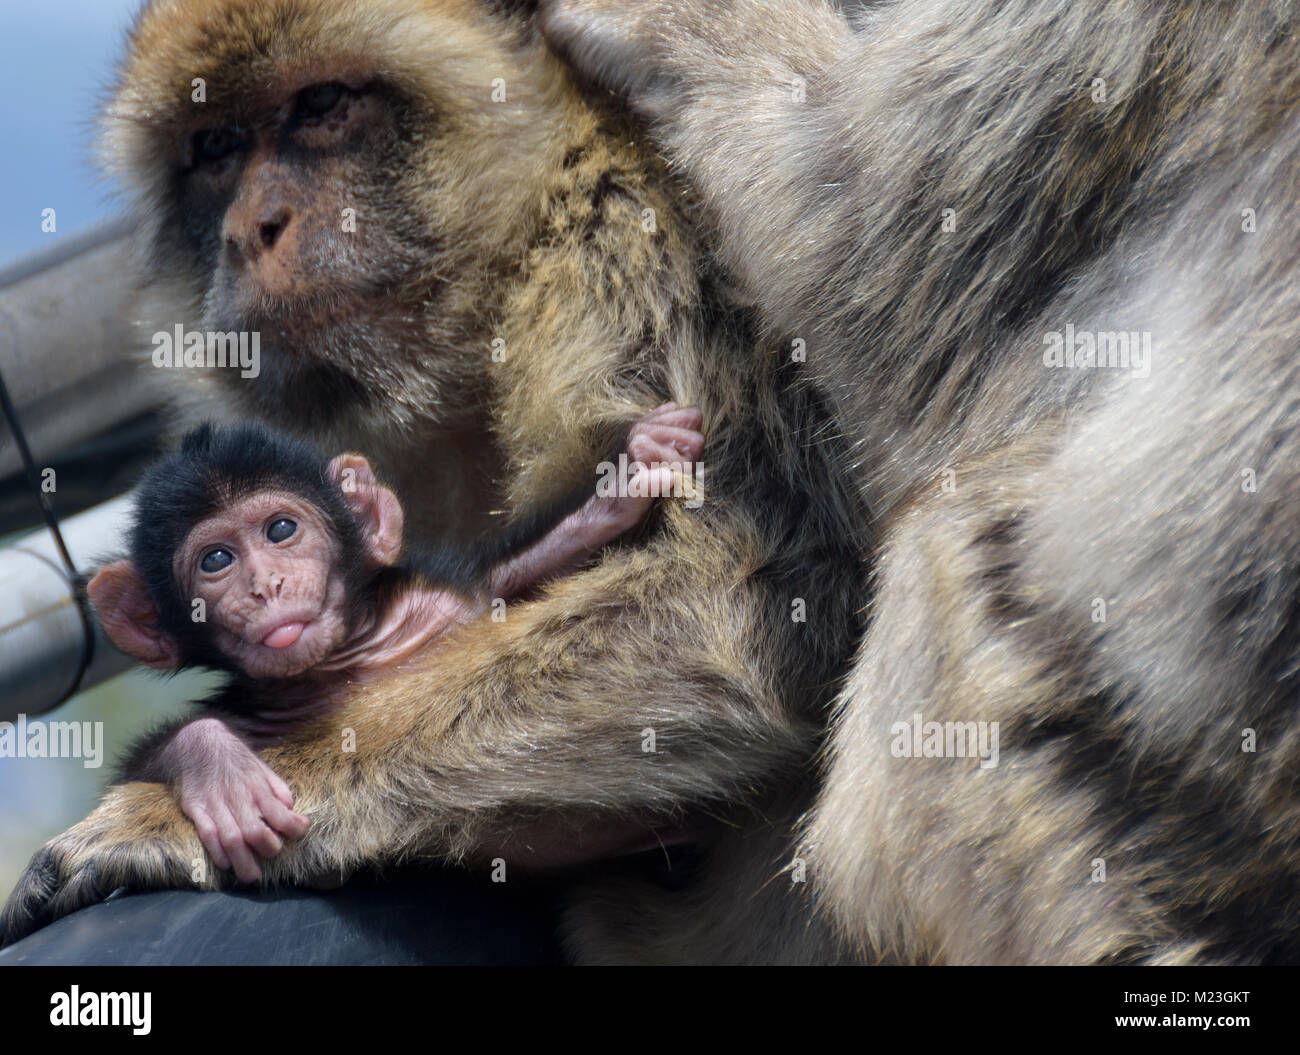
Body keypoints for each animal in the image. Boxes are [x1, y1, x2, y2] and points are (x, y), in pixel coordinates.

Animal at [87, 406, 705, 883]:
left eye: (281, 530)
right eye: (216, 560)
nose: (267, 586)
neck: (346, 659)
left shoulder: (449, 608)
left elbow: (514, 586)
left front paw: (629, 476)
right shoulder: (254, 712)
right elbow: (138, 770)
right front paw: (216, 769)